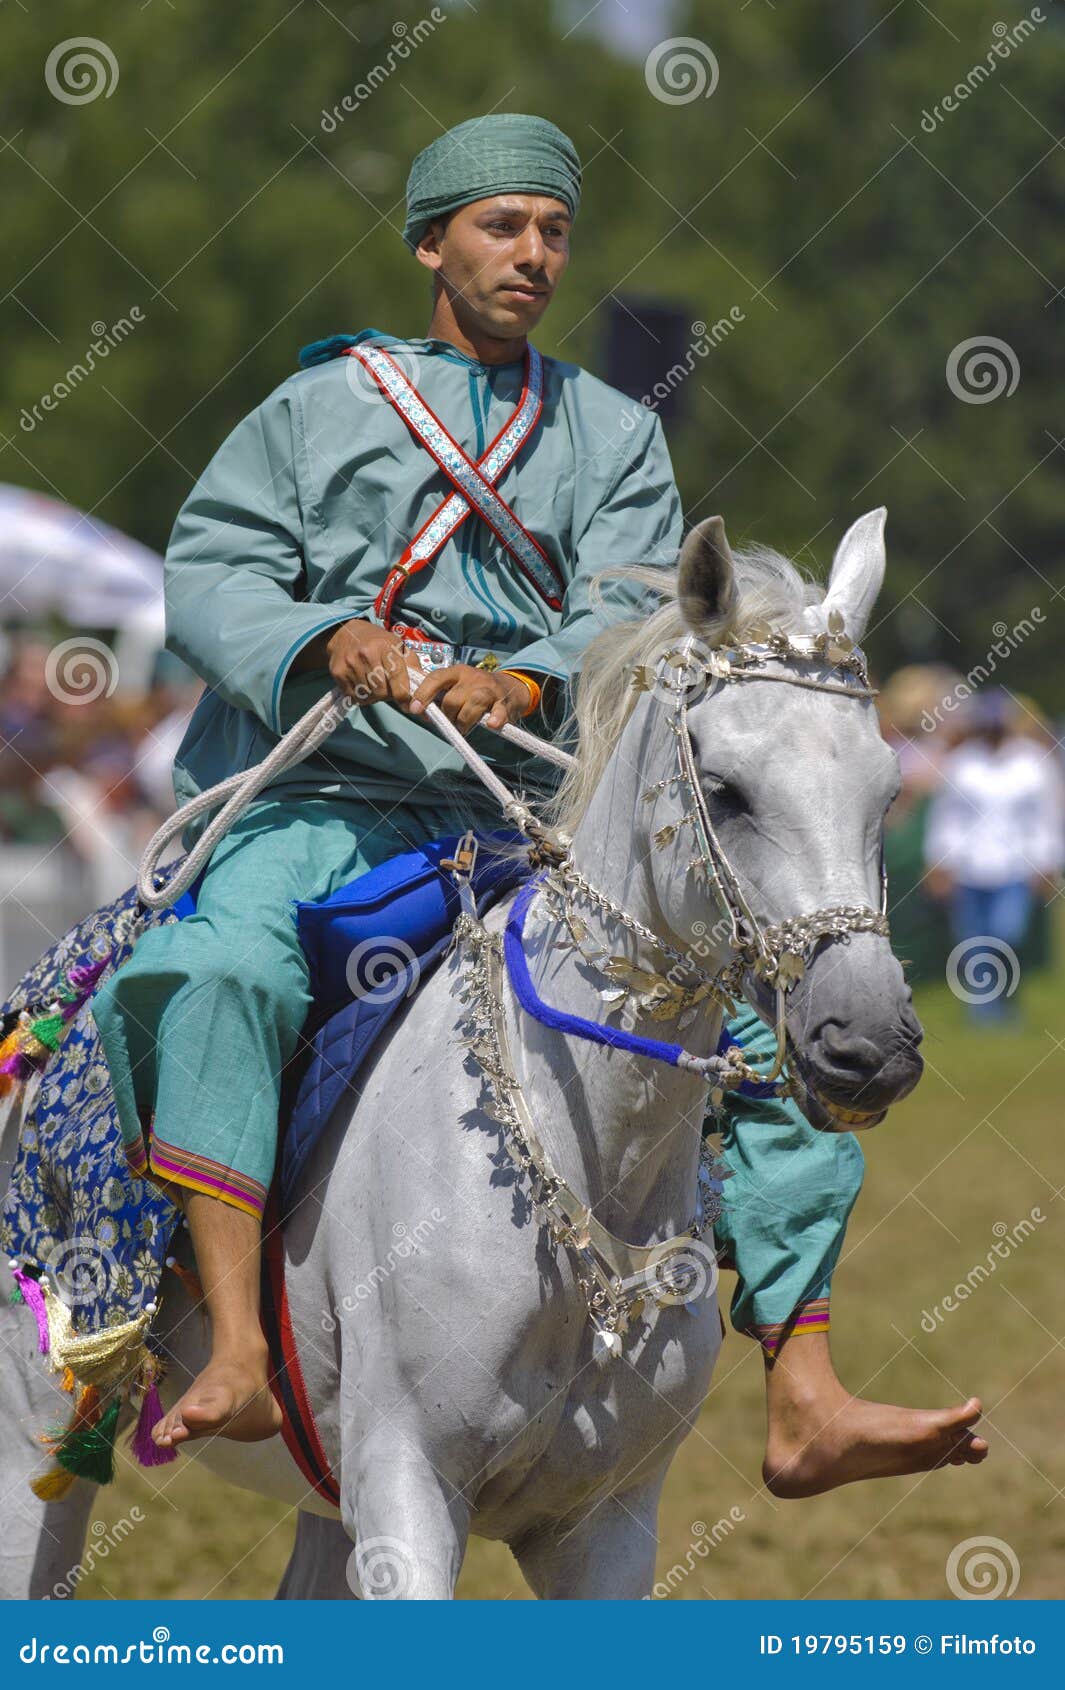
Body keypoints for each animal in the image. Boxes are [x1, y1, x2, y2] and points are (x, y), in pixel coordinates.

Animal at [0, 507, 922, 1600]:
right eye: (728, 790)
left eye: (889, 791)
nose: (866, 1042)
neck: (584, 1160)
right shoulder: (408, 1484)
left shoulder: (604, 1523)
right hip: (34, 1445)